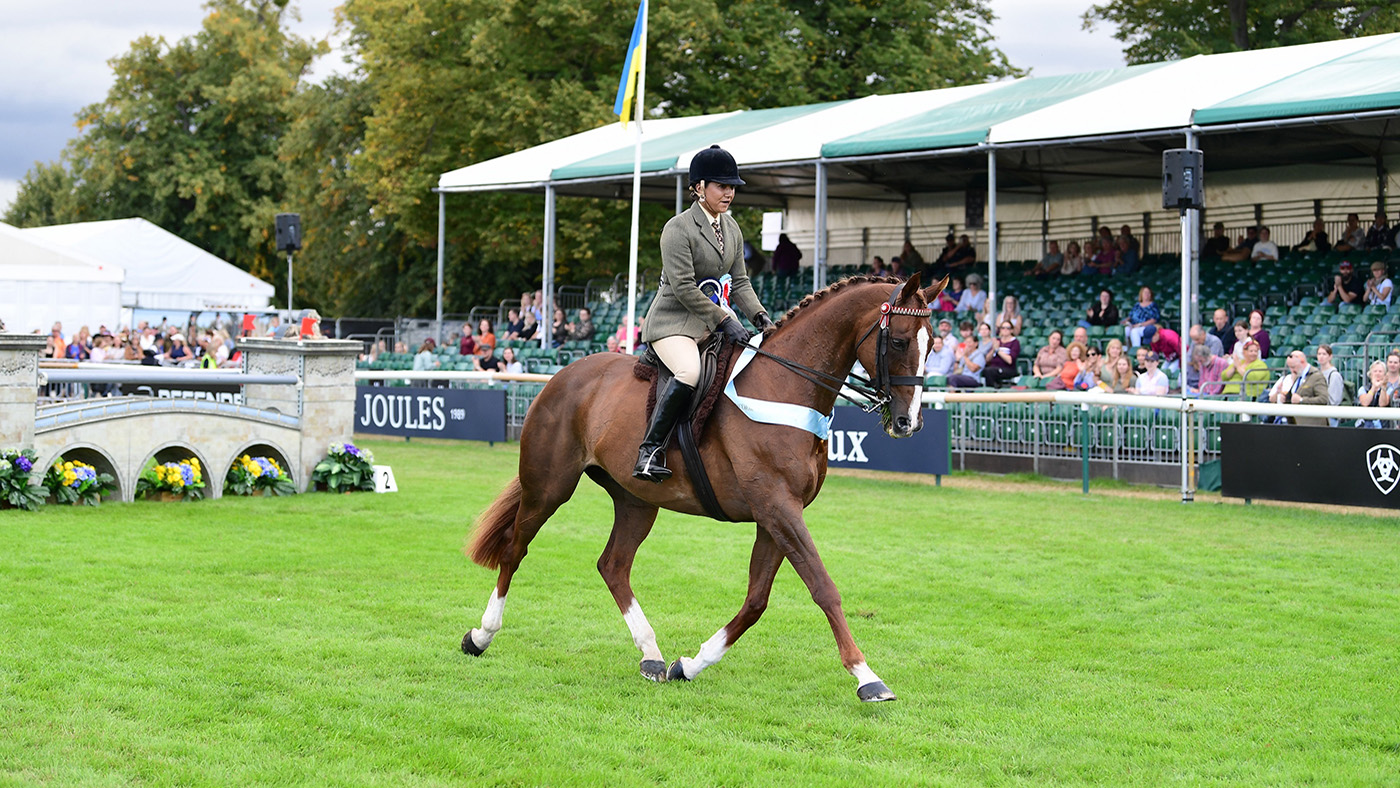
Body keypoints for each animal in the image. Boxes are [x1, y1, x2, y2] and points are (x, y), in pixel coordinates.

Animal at [463, 273, 946, 702]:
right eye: (900, 341)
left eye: (932, 343)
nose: (908, 422)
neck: (786, 386)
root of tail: (564, 375)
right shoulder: (778, 508)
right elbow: (822, 587)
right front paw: (867, 677)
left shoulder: (776, 515)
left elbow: (756, 601)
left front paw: (690, 665)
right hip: (549, 486)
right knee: (515, 549)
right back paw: (481, 635)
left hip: (636, 500)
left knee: (613, 565)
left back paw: (652, 656)